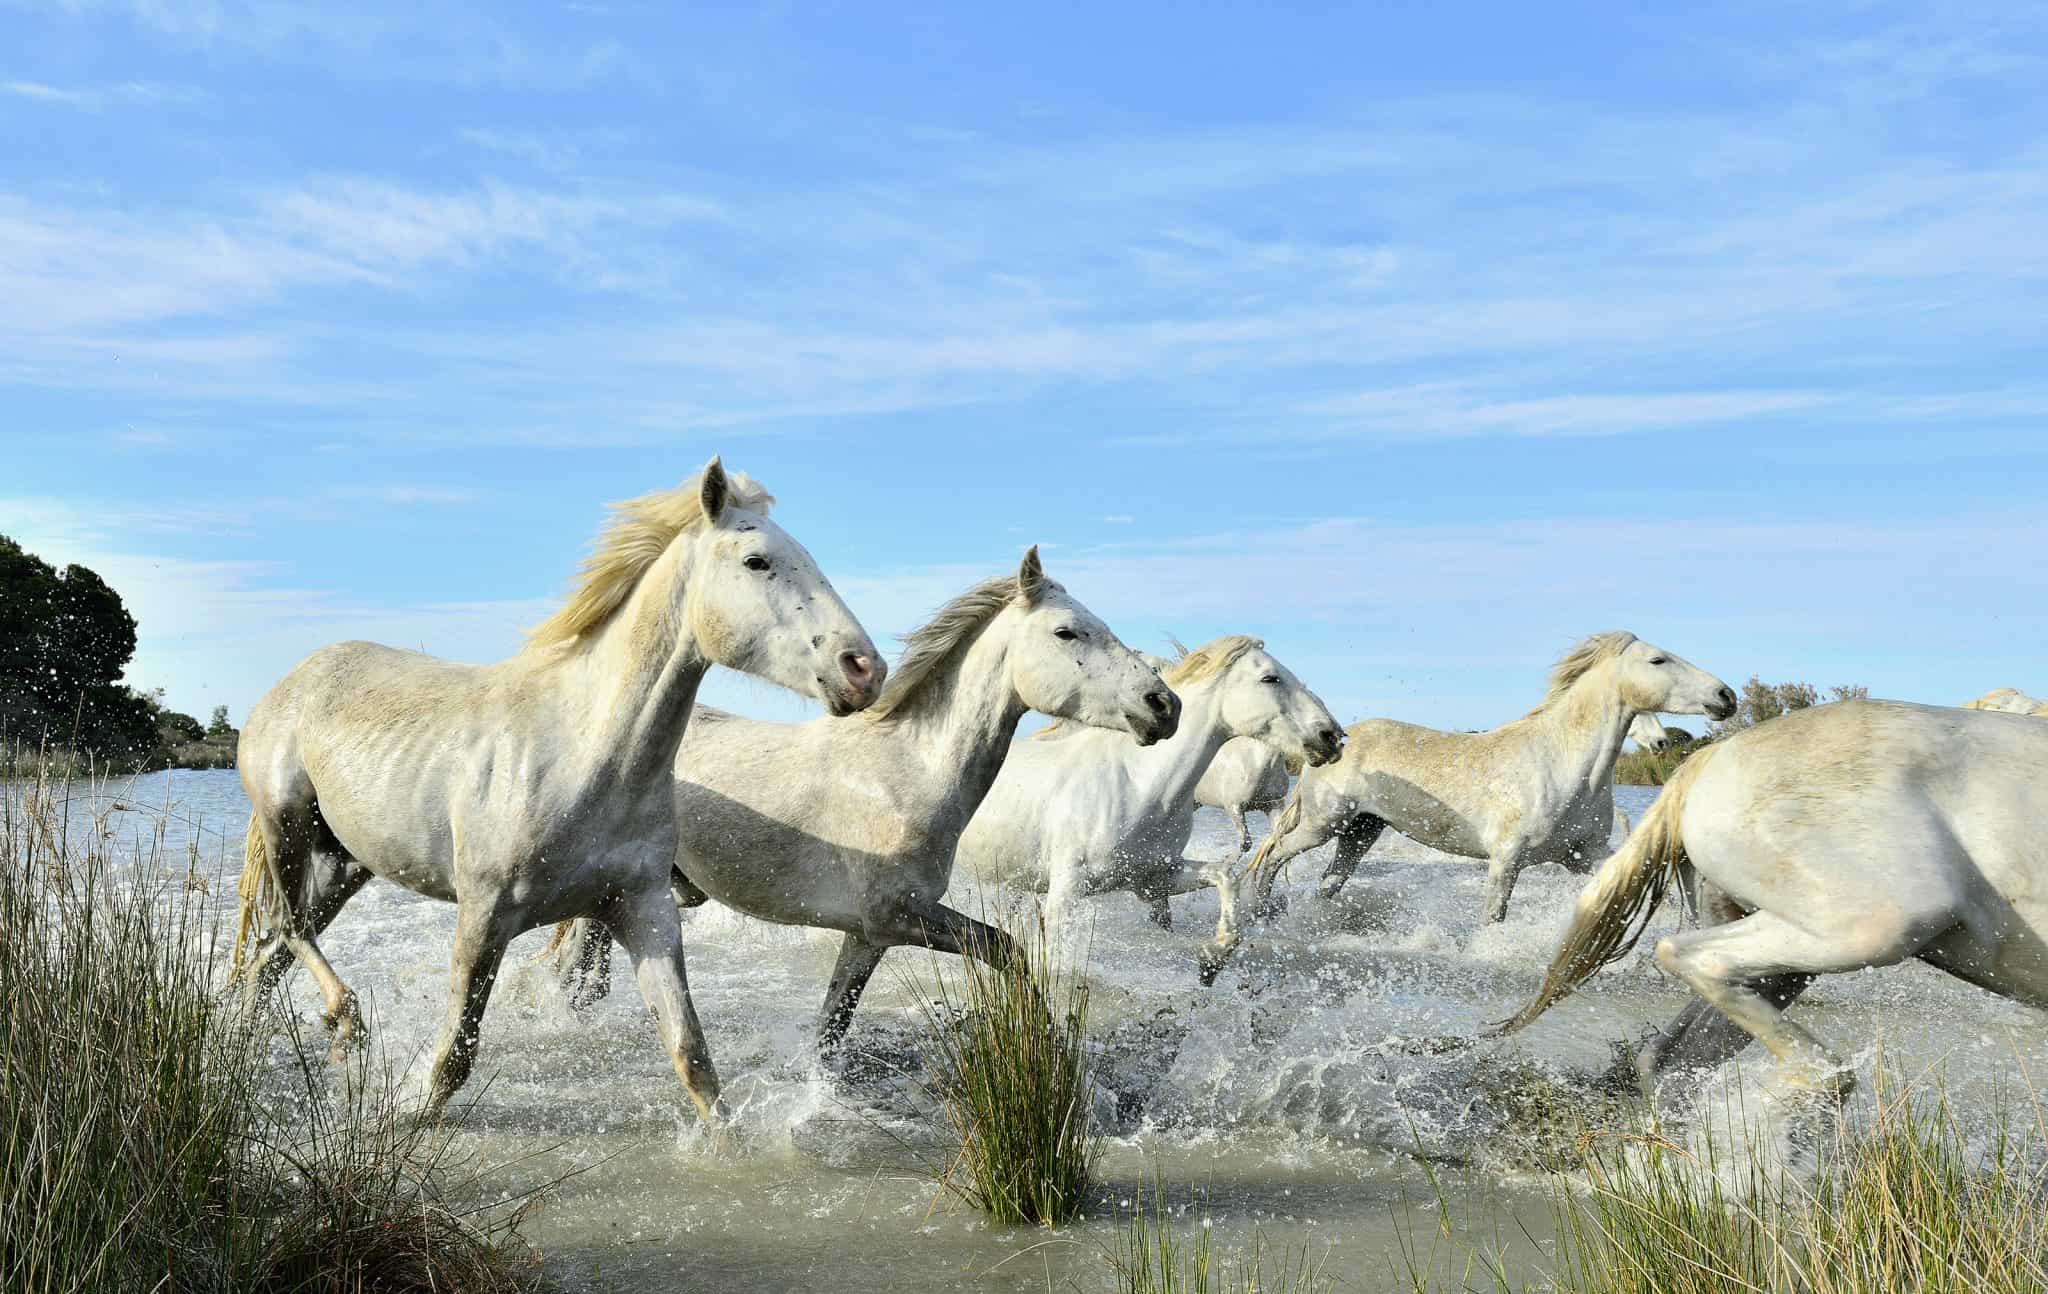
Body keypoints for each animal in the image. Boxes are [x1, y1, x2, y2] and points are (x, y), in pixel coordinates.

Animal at [230, 460, 883, 1124]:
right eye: (757, 561)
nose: (864, 670)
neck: (582, 757)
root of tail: (290, 682)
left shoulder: (644, 911)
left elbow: (694, 1060)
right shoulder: (482, 917)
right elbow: (452, 1060)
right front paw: (404, 1115)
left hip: (345, 864)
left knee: (267, 957)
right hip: (287, 824)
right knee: (289, 930)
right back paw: (344, 1027)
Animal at [545, 547, 1179, 1056]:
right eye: (1067, 632)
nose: (1163, 705)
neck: (909, 773)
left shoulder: (868, 936)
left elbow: (833, 1027)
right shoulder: (898, 916)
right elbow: (1008, 949)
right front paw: (1044, 1042)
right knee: (576, 962)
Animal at [954, 635, 1342, 956]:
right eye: (1270, 678)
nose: (1332, 736)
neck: (1140, 785)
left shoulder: (1155, 880)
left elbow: (1224, 875)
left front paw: (1214, 956)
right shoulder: (1066, 893)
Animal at [1211, 633, 1734, 978]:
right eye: (1658, 660)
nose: (1725, 696)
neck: (1562, 763)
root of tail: (1333, 740)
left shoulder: (1584, 855)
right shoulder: (1507, 859)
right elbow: (1494, 918)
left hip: (1362, 832)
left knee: (1328, 883)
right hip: (1325, 823)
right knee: (1273, 854)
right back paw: (1262, 911)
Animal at [1496, 699, 2048, 1096]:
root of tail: (1706, 761)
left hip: (1783, 961)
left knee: (1667, 1061)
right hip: (1881, 921)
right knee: (1693, 964)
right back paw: (1818, 1085)